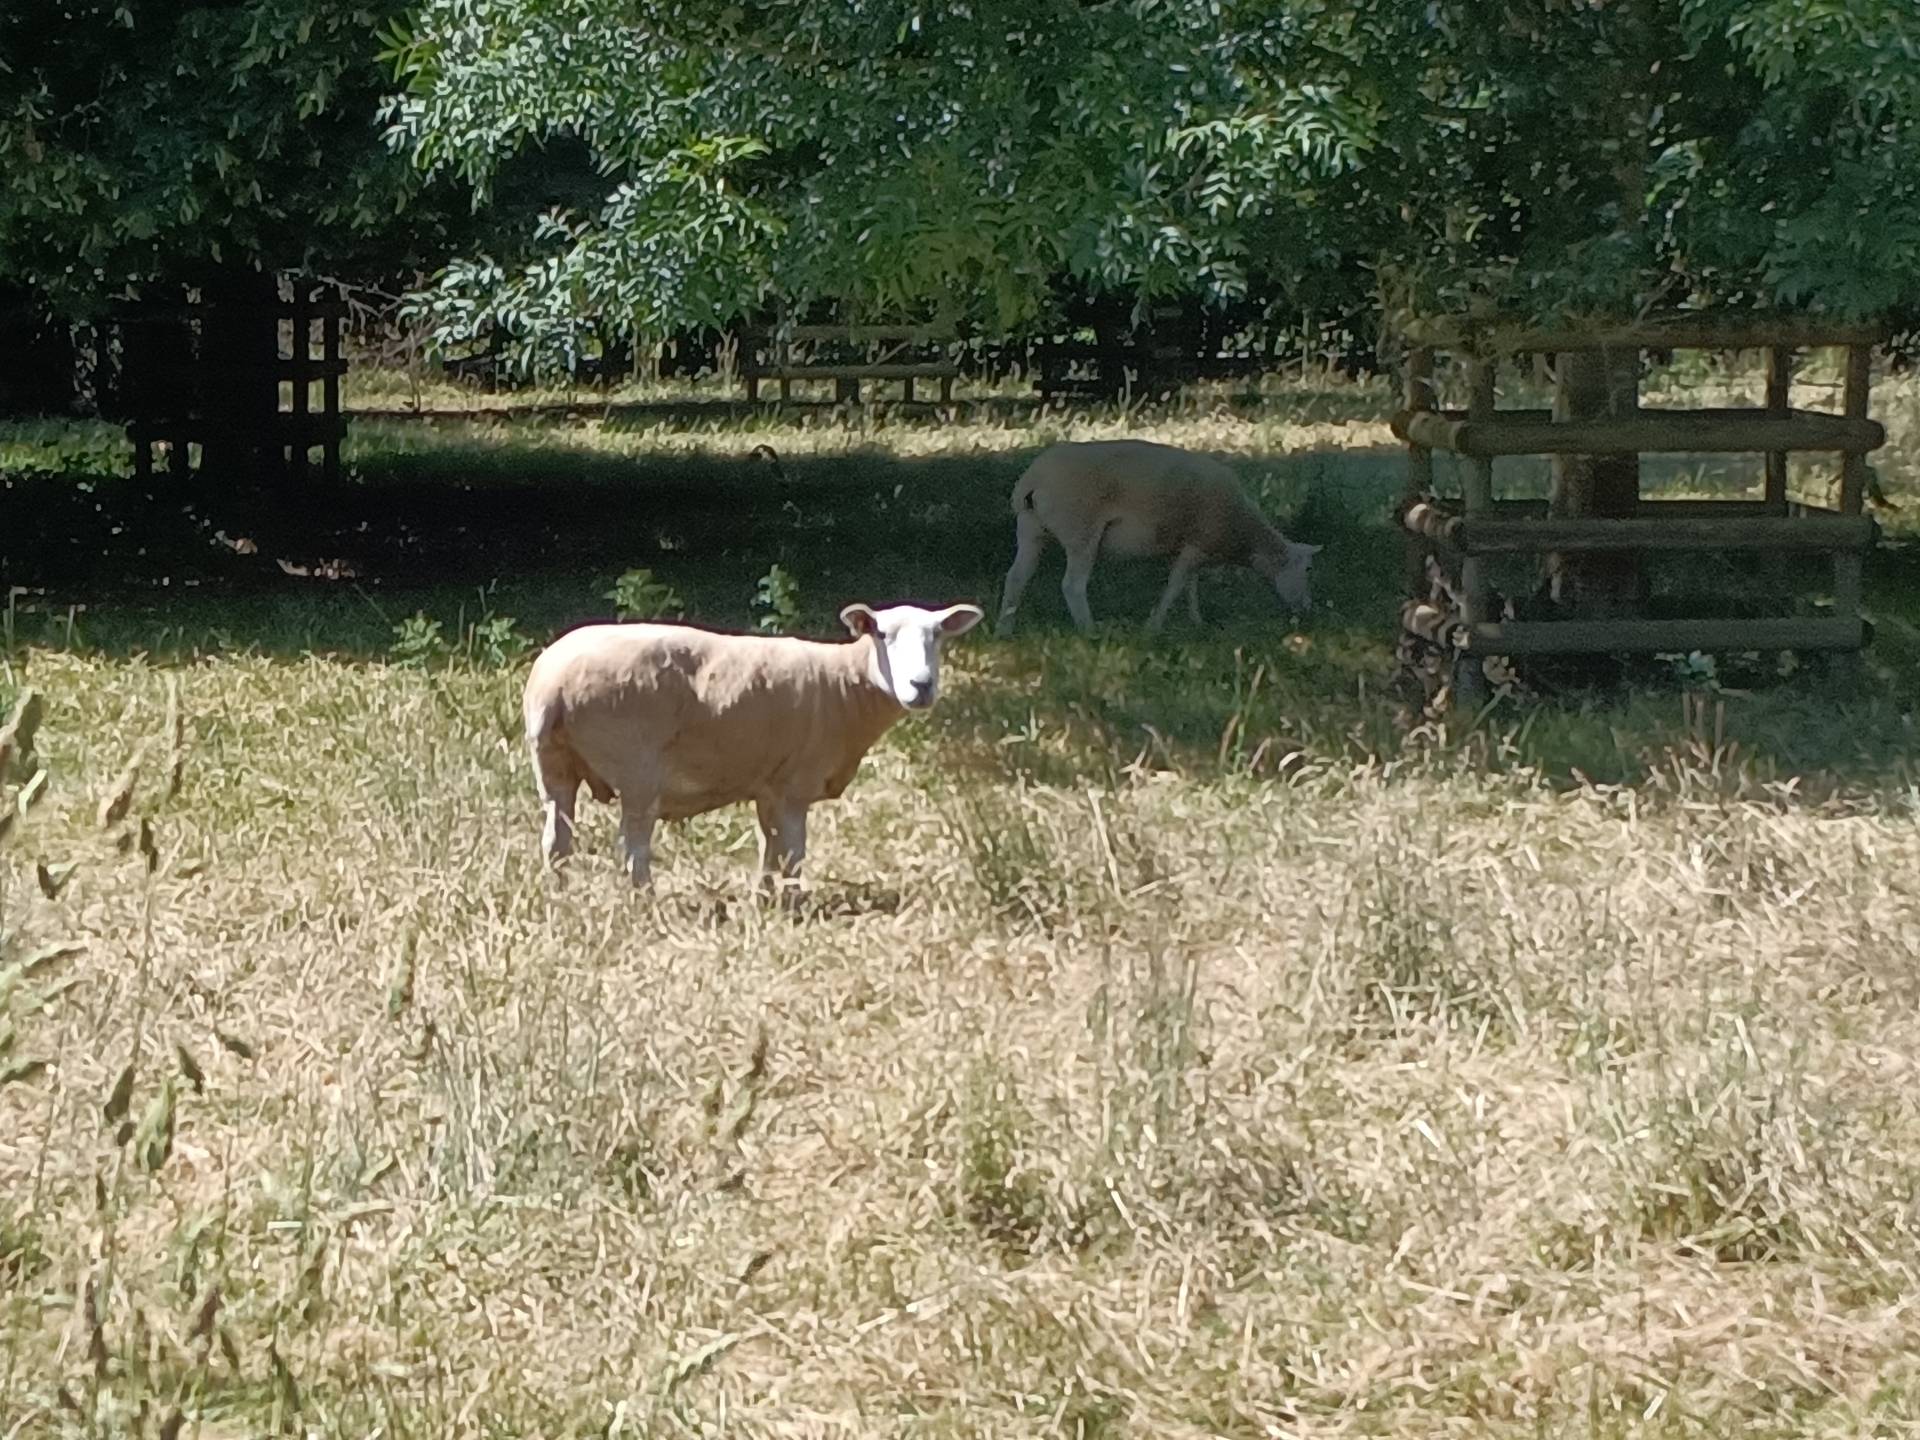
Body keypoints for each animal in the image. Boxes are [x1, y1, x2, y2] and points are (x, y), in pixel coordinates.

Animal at [522, 602, 984, 900]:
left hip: (552, 764)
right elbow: (794, 852)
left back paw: (559, 897)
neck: (844, 685)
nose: (921, 686)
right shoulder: (796, 784)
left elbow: (769, 847)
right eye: (882, 634)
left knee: (556, 840)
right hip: (636, 765)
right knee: (632, 845)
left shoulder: (770, 785)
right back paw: (644, 901)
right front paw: (794, 905)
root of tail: (554, 685)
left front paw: (763, 897)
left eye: (938, 635)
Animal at [994, 439, 1320, 636]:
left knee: (1016, 577)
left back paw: (1004, 628)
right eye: (1306, 569)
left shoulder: (1190, 548)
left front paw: (1196, 621)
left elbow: (1191, 586)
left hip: (1031, 529)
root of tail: (1032, 479)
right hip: (1080, 532)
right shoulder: (1196, 545)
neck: (1244, 534)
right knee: (1072, 586)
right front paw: (1154, 626)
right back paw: (1089, 630)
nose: (1307, 610)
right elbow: (1176, 586)